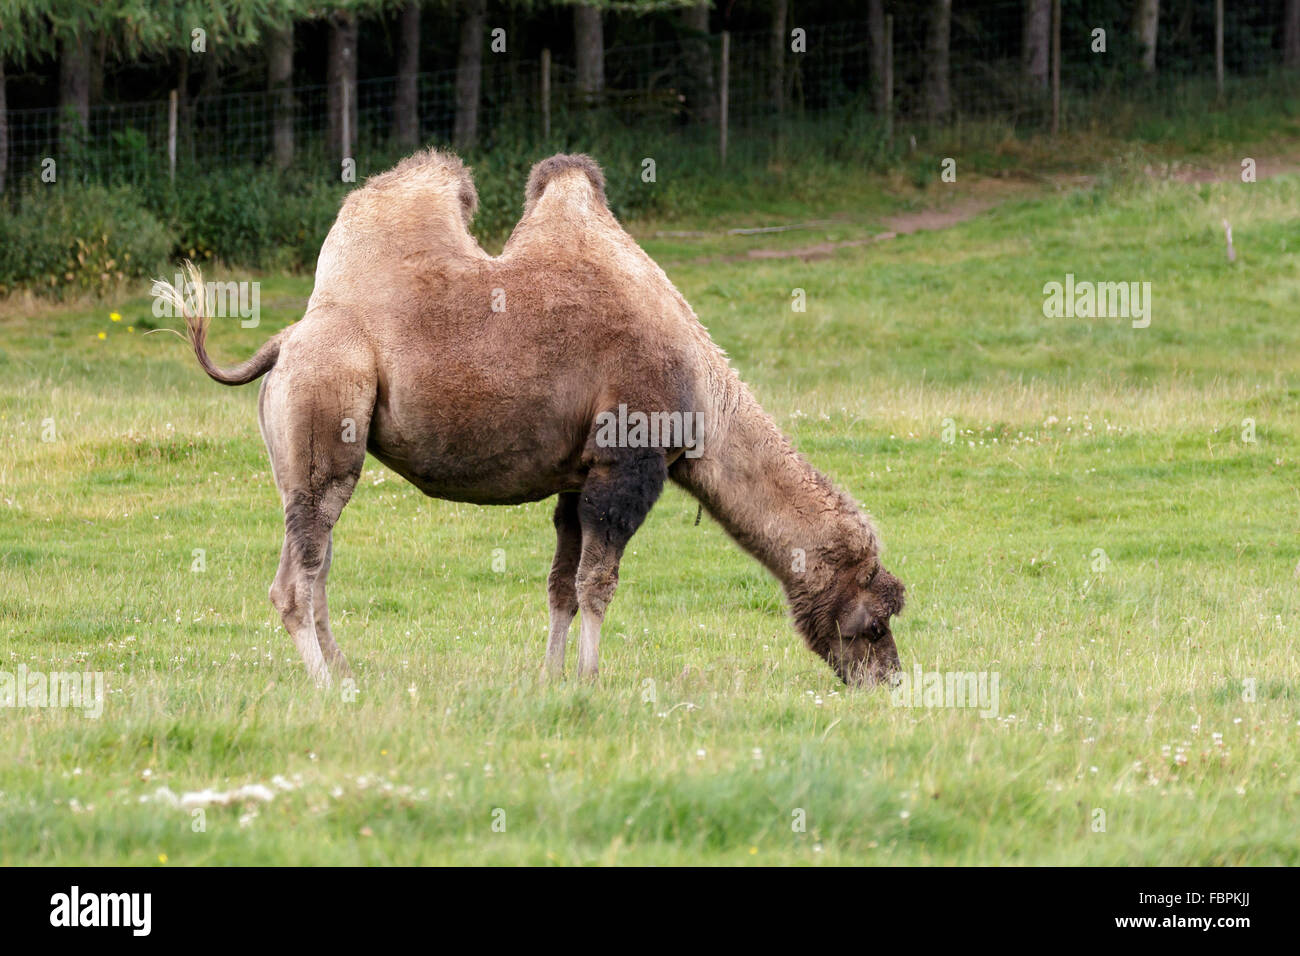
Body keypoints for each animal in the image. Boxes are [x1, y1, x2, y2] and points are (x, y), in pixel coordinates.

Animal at [157, 149, 905, 688]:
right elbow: (598, 584)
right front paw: (591, 680)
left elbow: (562, 587)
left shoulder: (579, 477)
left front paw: (549, 679)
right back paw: (327, 684)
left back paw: (344, 669)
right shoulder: (625, 466)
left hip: (305, 447)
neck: (706, 401)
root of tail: (286, 340)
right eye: (875, 619)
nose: (890, 682)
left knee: (316, 561)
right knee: (297, 575)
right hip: (326, 406)